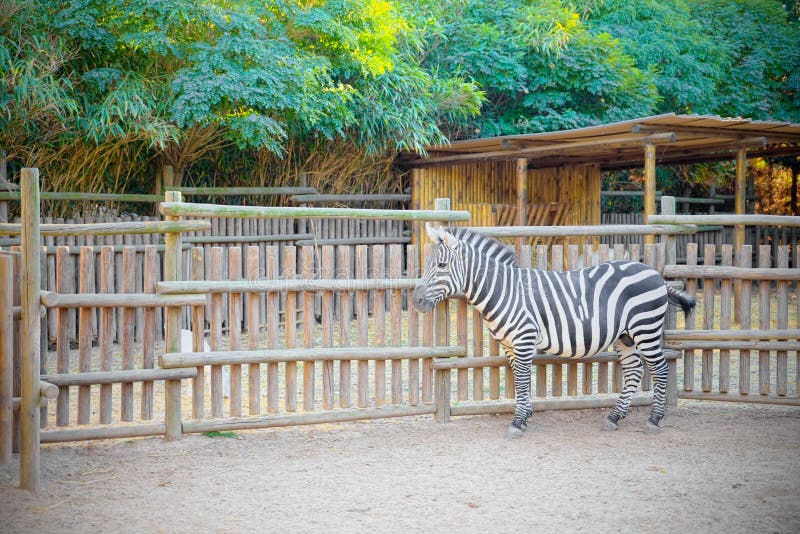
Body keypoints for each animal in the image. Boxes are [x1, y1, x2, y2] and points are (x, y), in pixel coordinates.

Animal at [411, 223, 695, 439]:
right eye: (427, 263)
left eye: (441, 266)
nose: (416, 301)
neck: (504, 290)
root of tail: (655, 273)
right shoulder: (510, 344)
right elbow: (519, 378)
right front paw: (525, 415)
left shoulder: (524, 339)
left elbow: (522, 379)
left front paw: (517, 422)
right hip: (625, 336)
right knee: (634, 371)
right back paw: (614, 417)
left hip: (645, 329)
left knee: (660, 369)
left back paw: (654, 419)